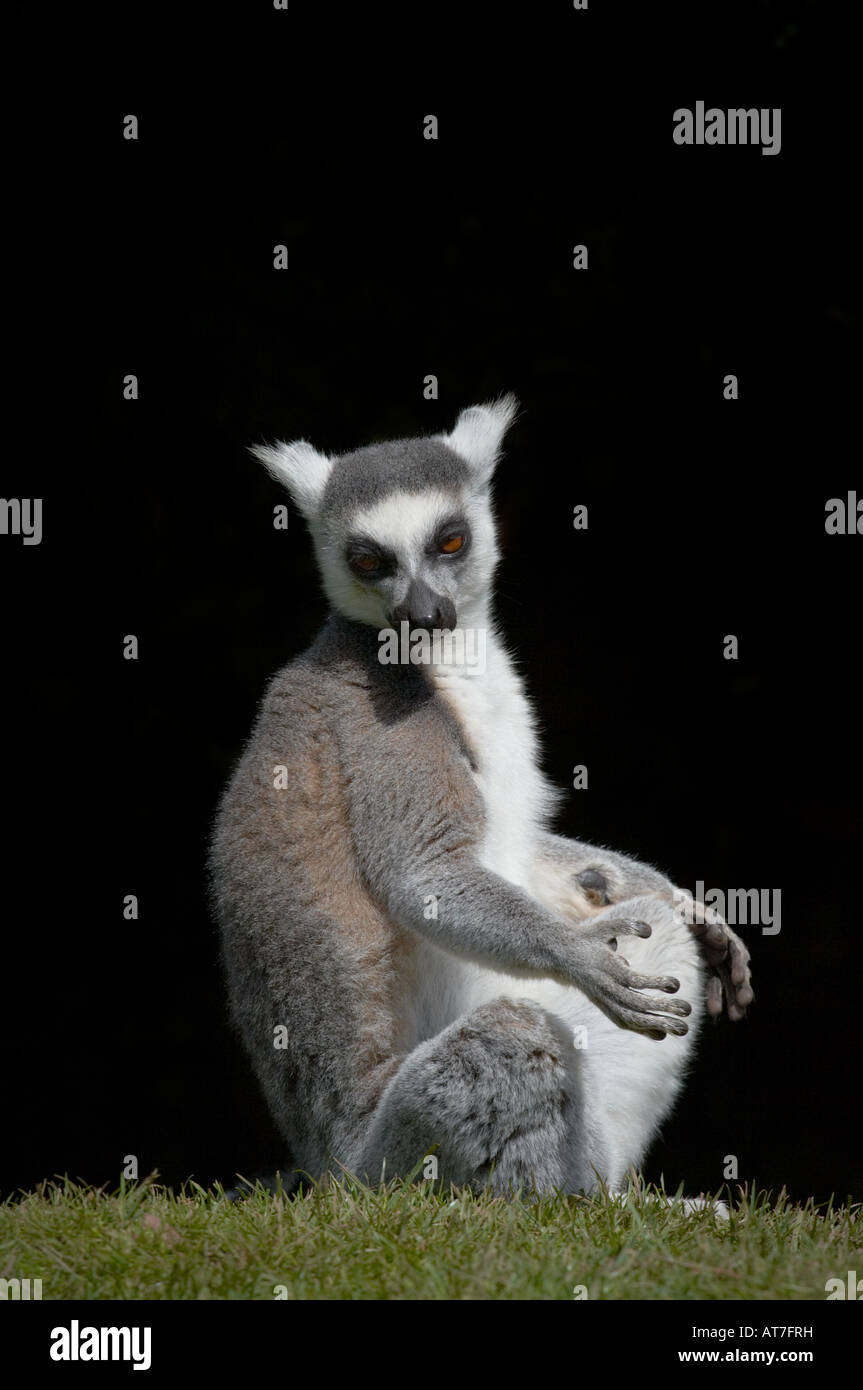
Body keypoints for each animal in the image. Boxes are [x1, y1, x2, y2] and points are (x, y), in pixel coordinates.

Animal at [209, 396, 753, 1197]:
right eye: (369, 561)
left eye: (450, 541)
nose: (425, 613)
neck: (438, 658)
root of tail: (327, 1170)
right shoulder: (382, 724)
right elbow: (425, 877)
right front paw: (576, 953)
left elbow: (532, 854)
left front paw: (680, 898)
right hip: (392, 1160)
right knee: (511, 1037)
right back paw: (559, 1205)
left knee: (649, 944)